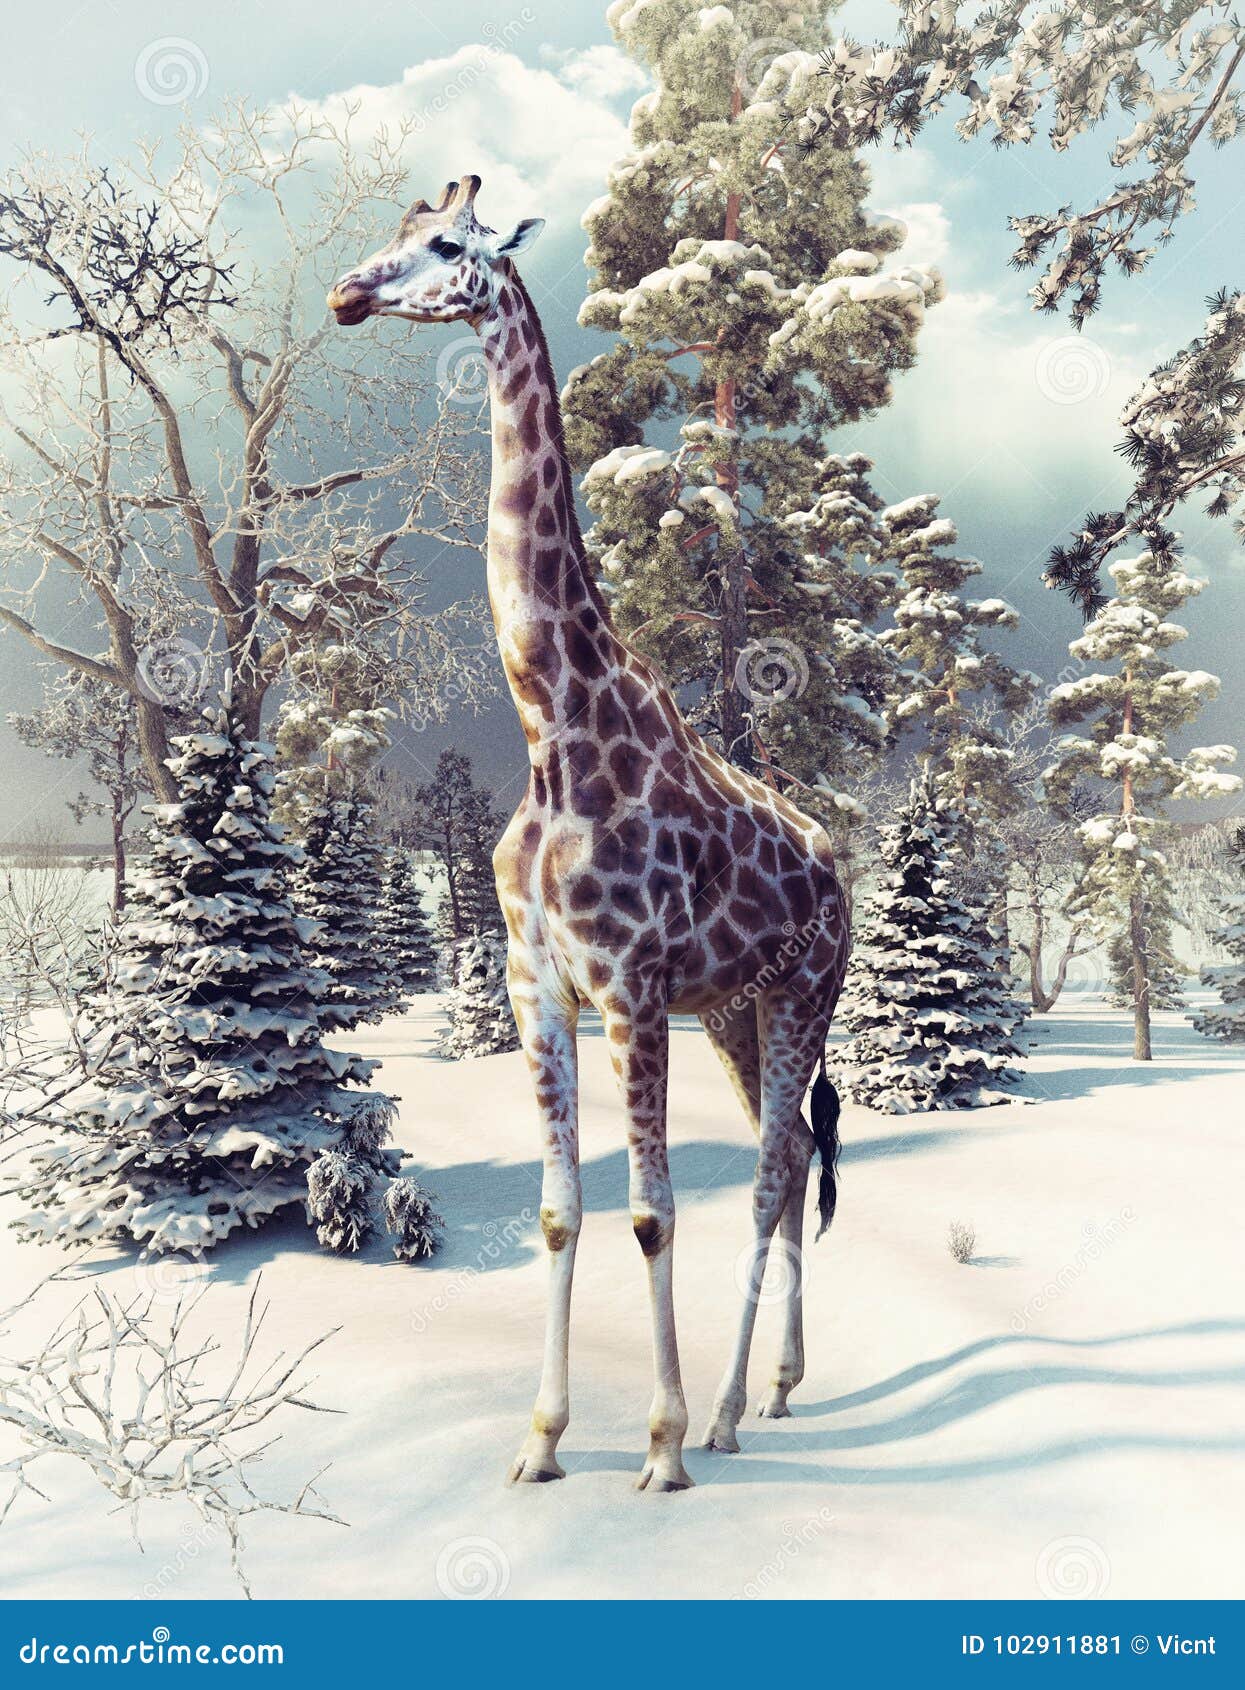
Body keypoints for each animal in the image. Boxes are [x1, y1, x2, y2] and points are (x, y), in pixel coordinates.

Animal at [328, 175, 851, 1491]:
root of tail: (839, 865)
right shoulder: (537, 985)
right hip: (737, 1007)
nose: (349, 292)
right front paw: (541, 1441)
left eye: (445, 244)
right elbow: (563, 1207)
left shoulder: (628, 984)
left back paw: (723, 1413)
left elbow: (655, 1210)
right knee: (788, 1159)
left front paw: (657, 1447)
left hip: (806, 990)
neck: (551, 726)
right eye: (393, 233)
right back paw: (778, 1386)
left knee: (772, 1172)